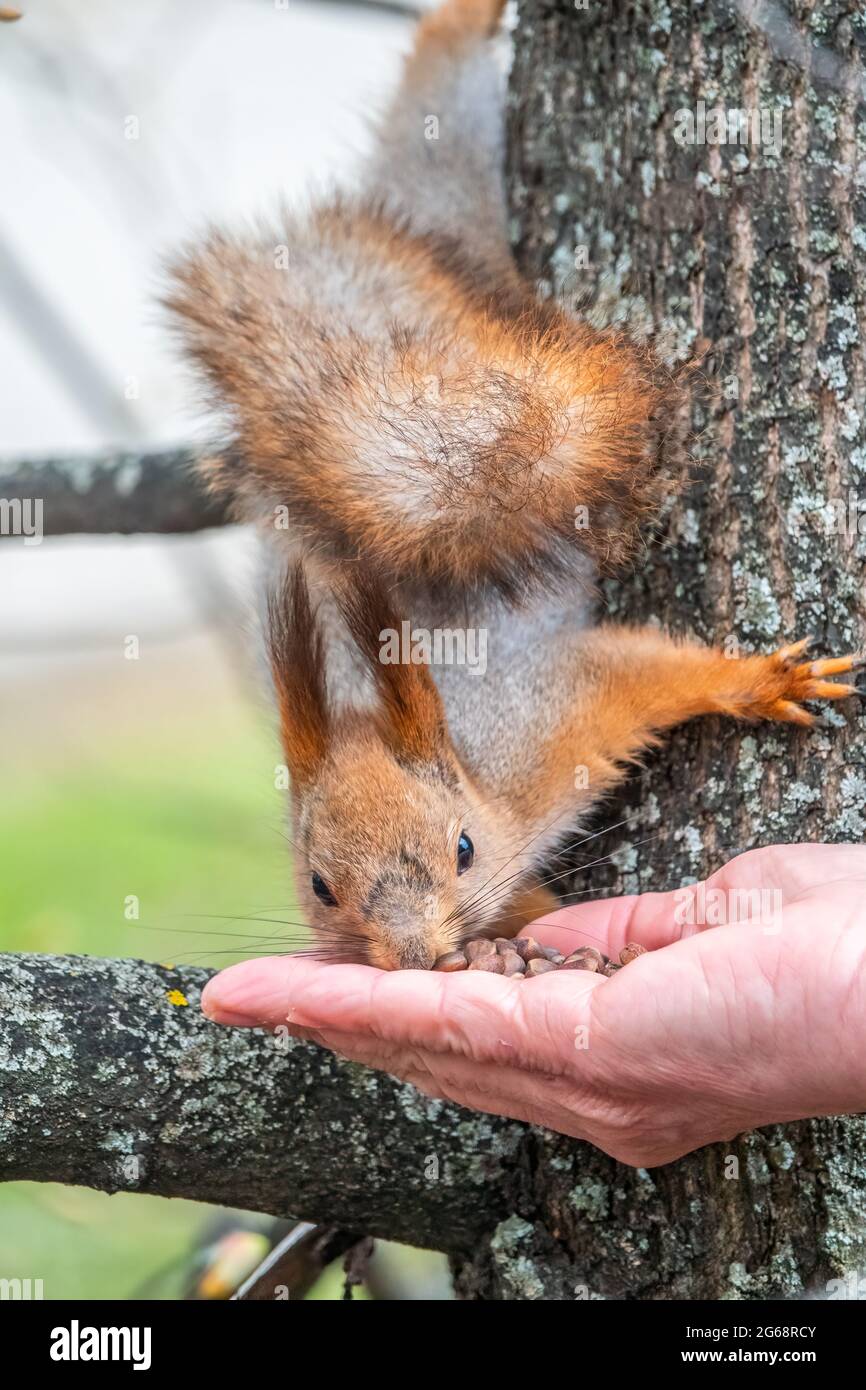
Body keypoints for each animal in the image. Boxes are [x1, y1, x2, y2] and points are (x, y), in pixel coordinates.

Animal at [166, 0, 861, 971]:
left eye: (461, 847)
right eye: (318, 888)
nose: (416, 956)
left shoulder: (546, 723)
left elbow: (638, 671)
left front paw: (762, 679)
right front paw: (517, 928)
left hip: (456, 185)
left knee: (442, 106)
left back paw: (466, 19)